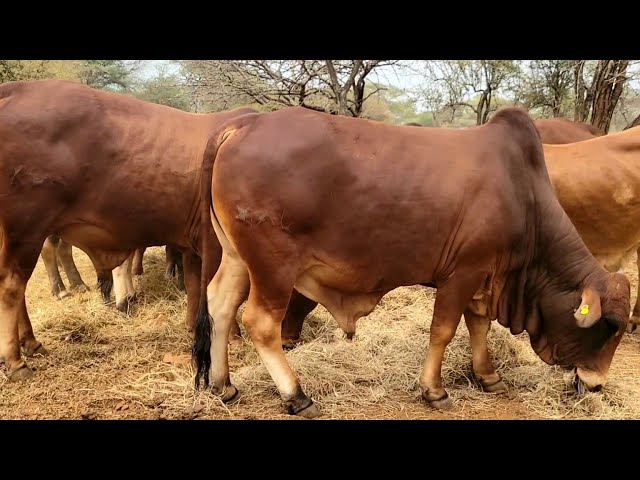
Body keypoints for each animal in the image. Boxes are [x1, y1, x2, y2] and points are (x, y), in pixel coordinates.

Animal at [0, 79, 315, 382]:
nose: (289, 341)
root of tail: (16, 88)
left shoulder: (192, 246)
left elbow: (195, 286)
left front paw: (192, 326)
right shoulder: (219, 248)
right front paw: (234, 337)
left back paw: (31, 342)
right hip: (27, 228)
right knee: (12, 285)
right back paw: (17, 361)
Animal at [192, 106, 630, 418]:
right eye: (608, 327)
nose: (597, 385)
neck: (524, 198)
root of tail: (244, 124)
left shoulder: (484, 277)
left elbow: (479, 327)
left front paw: (488, 376)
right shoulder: (463, 272)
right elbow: (444, 330)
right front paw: (434, 390)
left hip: (237, 257)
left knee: (221, 304)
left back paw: (223, 385)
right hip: (273, 266)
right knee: (261, 323)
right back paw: (297, 396)